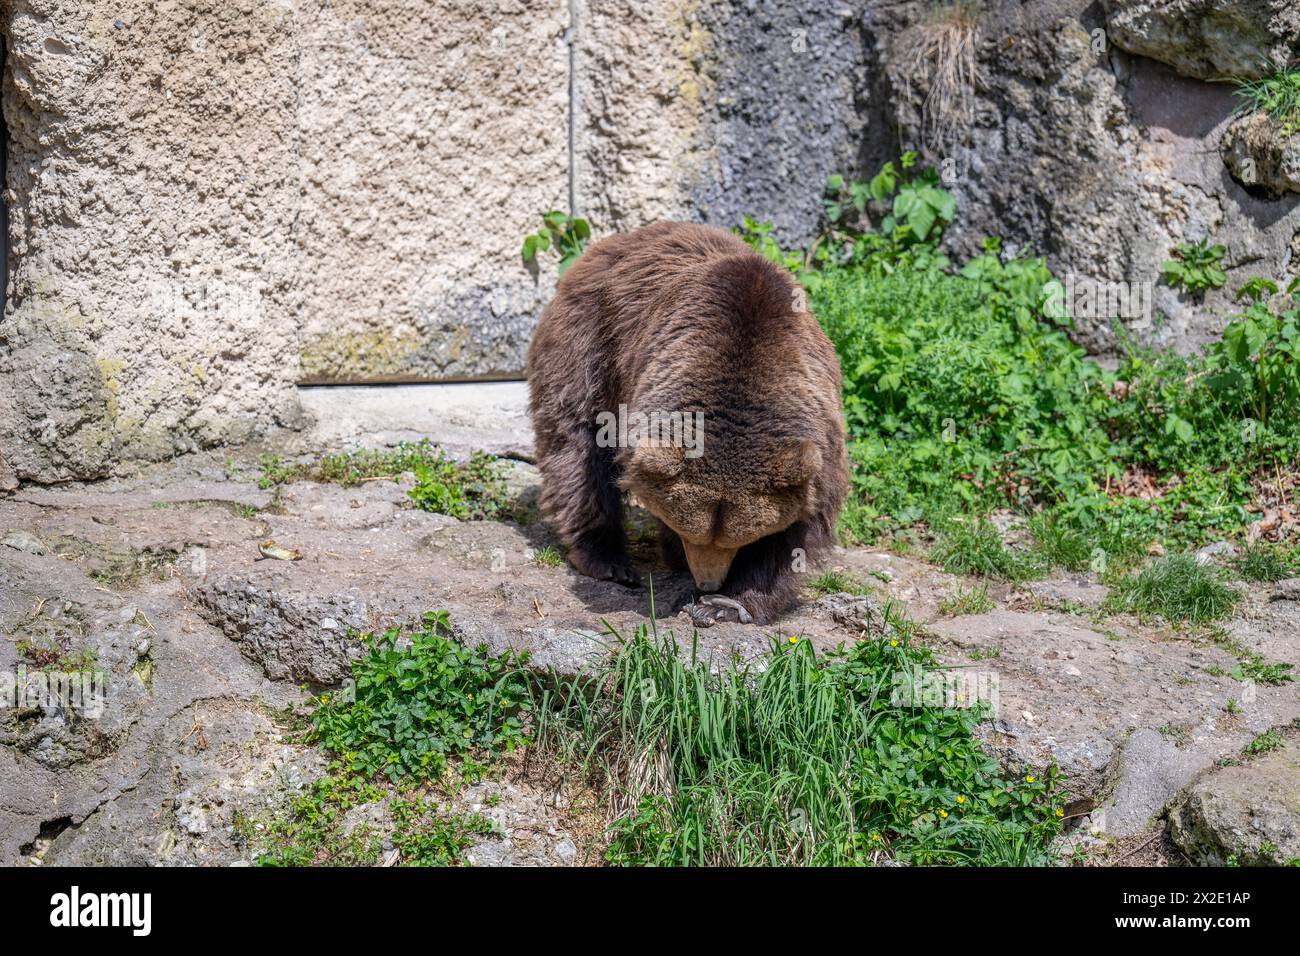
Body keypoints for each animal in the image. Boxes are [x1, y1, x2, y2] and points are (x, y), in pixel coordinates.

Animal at [526, 221, 849, 626]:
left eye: (737, 539)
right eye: (692, 533)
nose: (709, 582)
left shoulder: (814, 439)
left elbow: (797, 534)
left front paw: (729, 603)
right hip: (588, 340)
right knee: (577, 443)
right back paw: (608, 559)